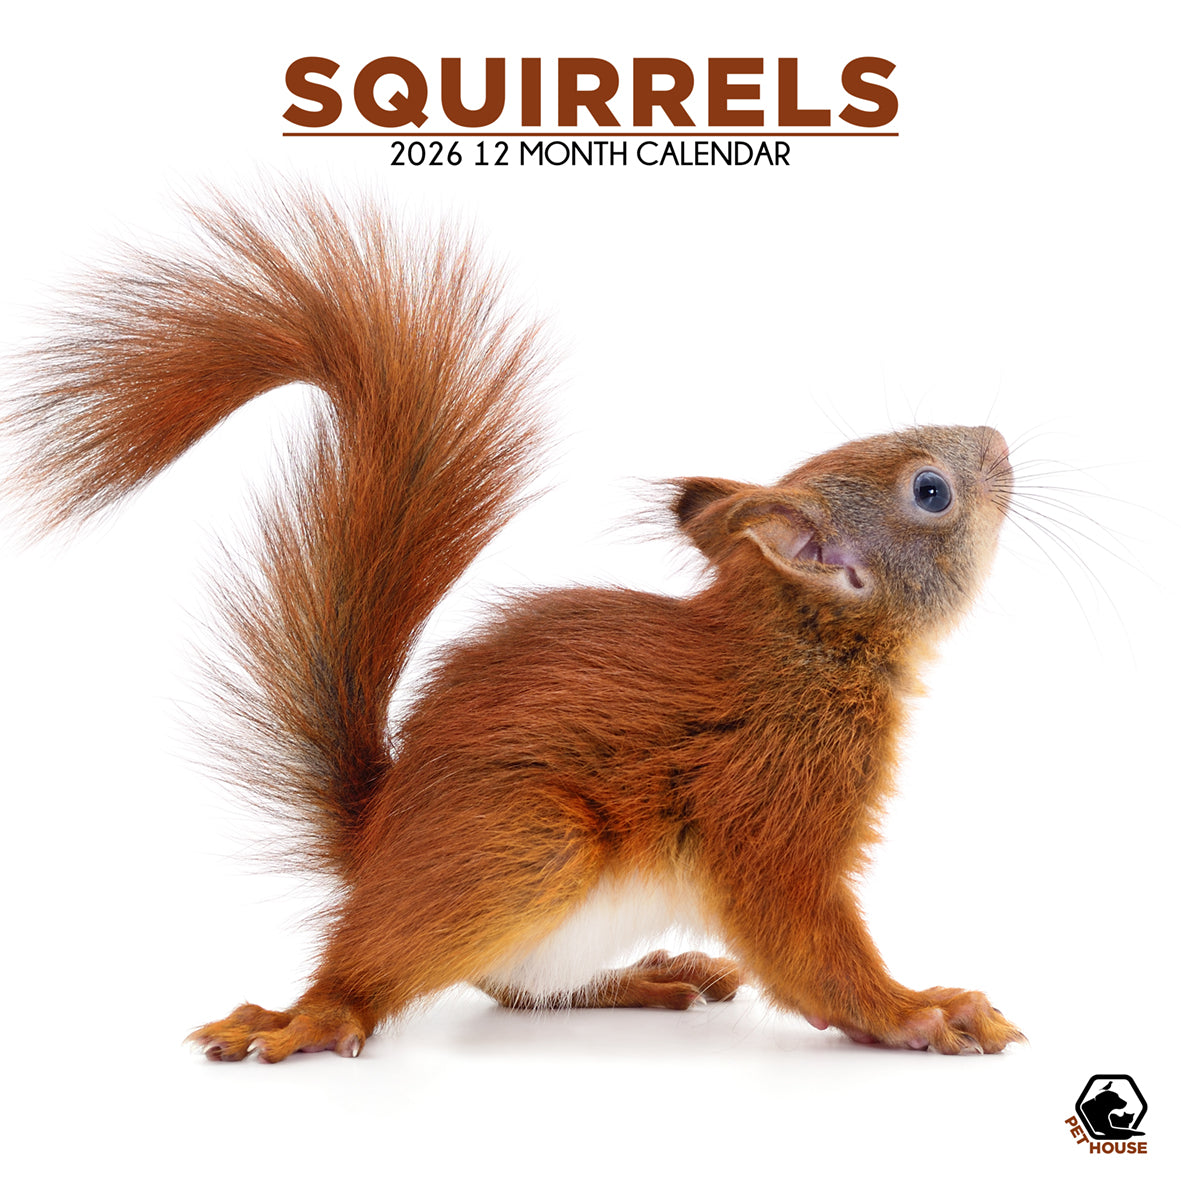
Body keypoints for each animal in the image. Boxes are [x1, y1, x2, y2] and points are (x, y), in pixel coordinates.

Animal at [3, 188, 1023, 1062]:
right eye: (929, 490)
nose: (1001, 442)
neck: (807, 651)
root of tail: (373, 846)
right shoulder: (775, 790)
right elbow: (805, 940)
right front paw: (916, 1011)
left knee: (520, 988)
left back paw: (643, 977)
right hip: (527, 845)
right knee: (378, 973)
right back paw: (318, 1012)